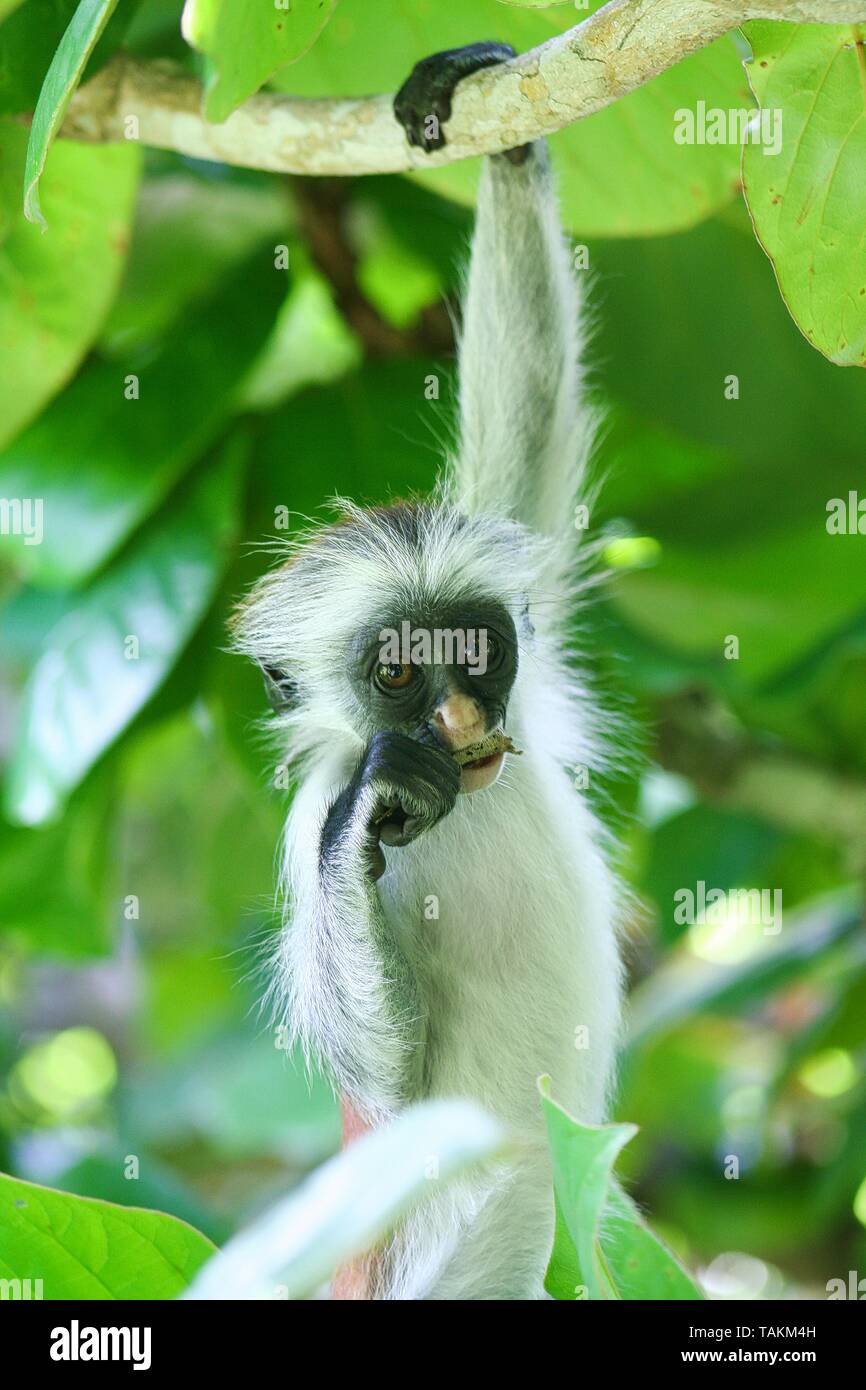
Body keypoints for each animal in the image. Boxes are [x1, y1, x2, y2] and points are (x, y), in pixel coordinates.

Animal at [232, 43, 624, 1300]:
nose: (454, 716)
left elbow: (529, 432)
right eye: (398, 678)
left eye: (473, 654)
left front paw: (475, 103)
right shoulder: (307, 813)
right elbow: (390, 1080)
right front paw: (377, 806)